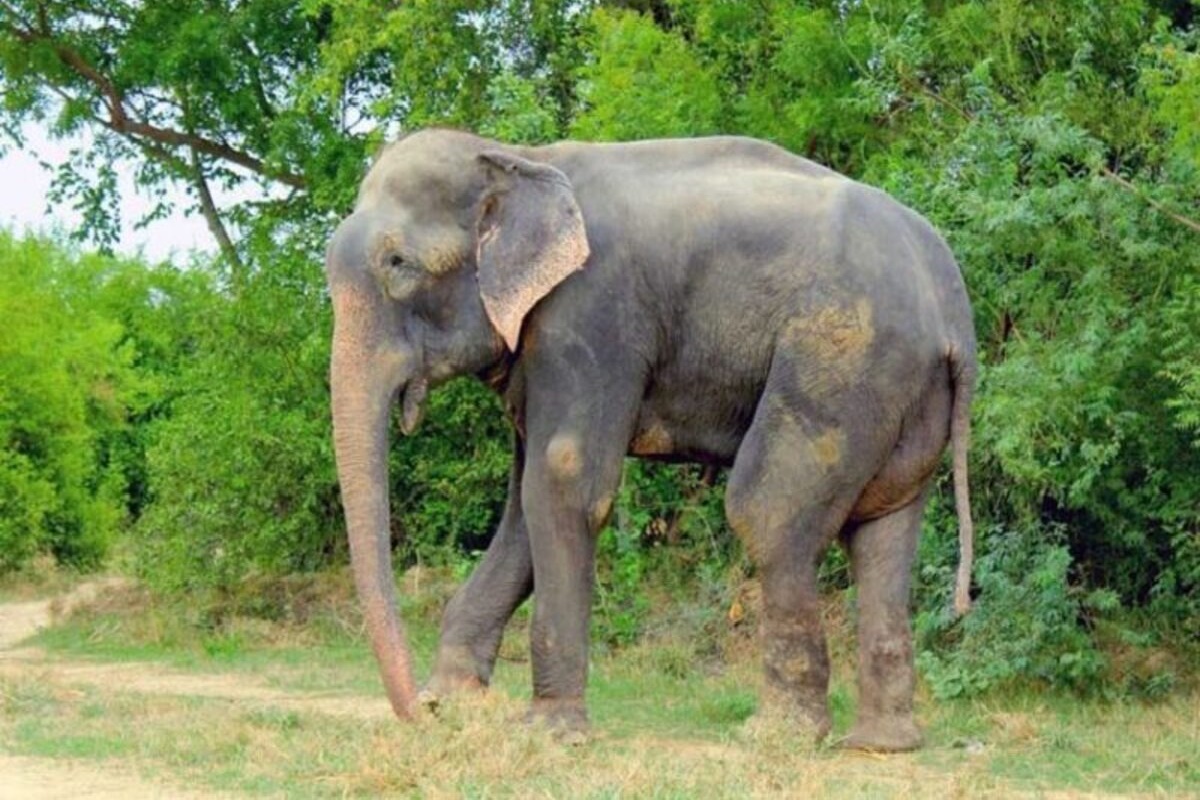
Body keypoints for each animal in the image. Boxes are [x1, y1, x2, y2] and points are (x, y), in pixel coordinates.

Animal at [325, 128, 976, 752]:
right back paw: (883, 744)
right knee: (883, 529)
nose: (416, 715)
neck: (516, 155)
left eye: (398, 264)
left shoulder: (590, 316)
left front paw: (550, 734)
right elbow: (524, 508)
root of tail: (954, 311)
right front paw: (454, 702)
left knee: (766, 512)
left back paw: (777, 737)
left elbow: (562, 482)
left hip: (843, 360)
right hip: (903, 393)